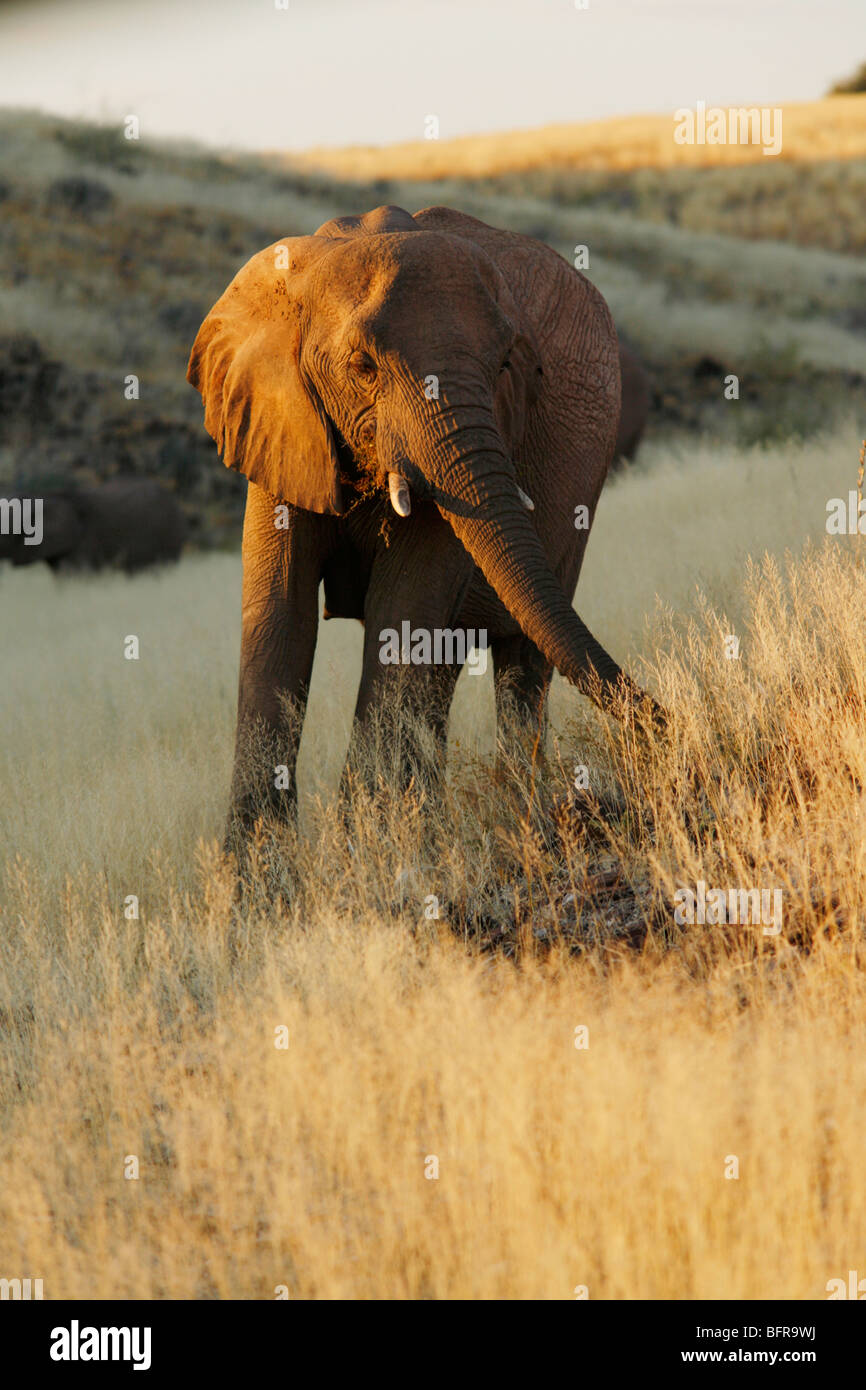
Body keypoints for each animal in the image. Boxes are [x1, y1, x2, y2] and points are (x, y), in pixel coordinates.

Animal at [187, 204, 664, 841]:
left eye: (507, 364)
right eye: (362, 367)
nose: (667, 728)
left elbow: (402, 609)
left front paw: (372, 846)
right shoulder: (278, 420)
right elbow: (281, 617)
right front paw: (263, 869)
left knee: (520, 660)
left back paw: (515, 817)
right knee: (444, 664)